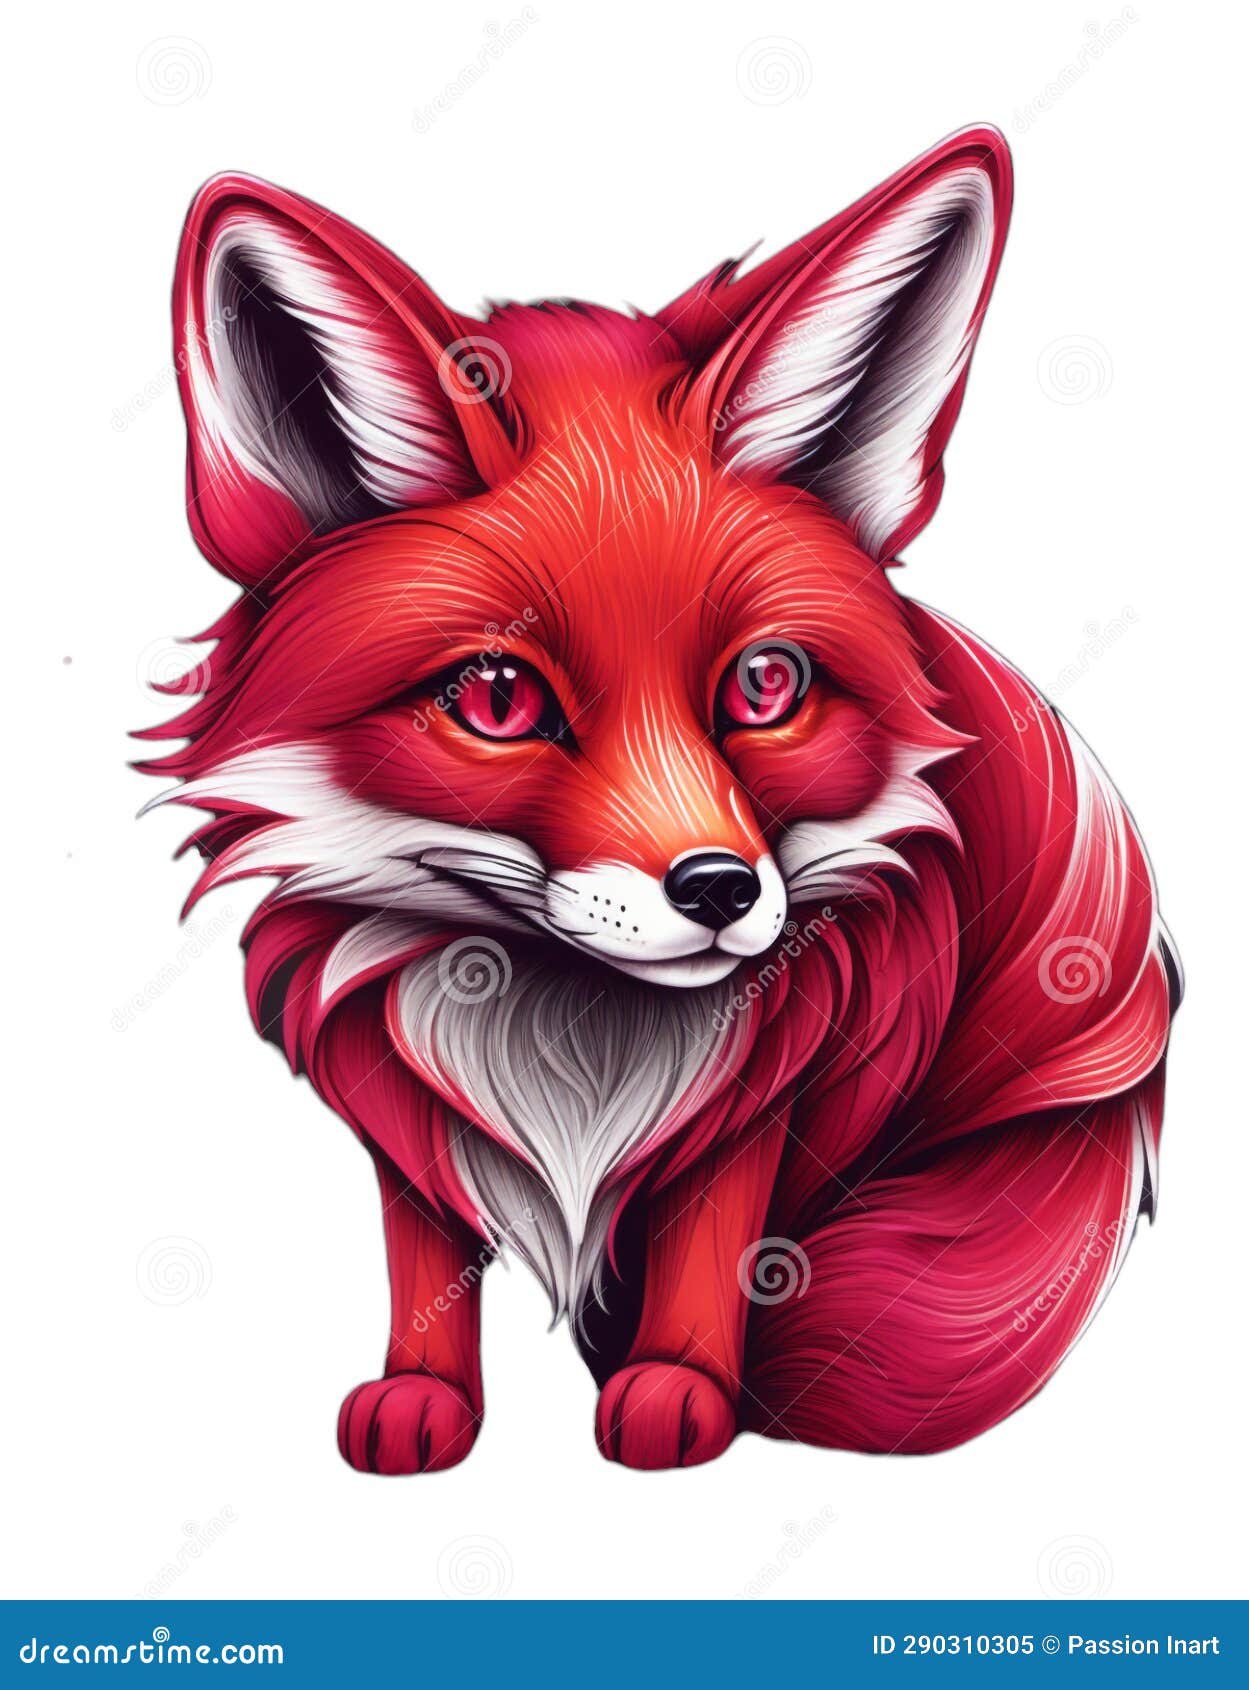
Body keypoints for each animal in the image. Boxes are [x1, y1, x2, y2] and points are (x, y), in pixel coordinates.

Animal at [140, 126, 1179, 1474]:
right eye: (497, 698)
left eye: (765, 683)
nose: (722, 889)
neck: (572, 1042)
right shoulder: (394, 1084)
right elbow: (424, 1246)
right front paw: (422, 1391)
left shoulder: (771, 1077)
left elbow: (710, 1226)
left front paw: (678, 1382)